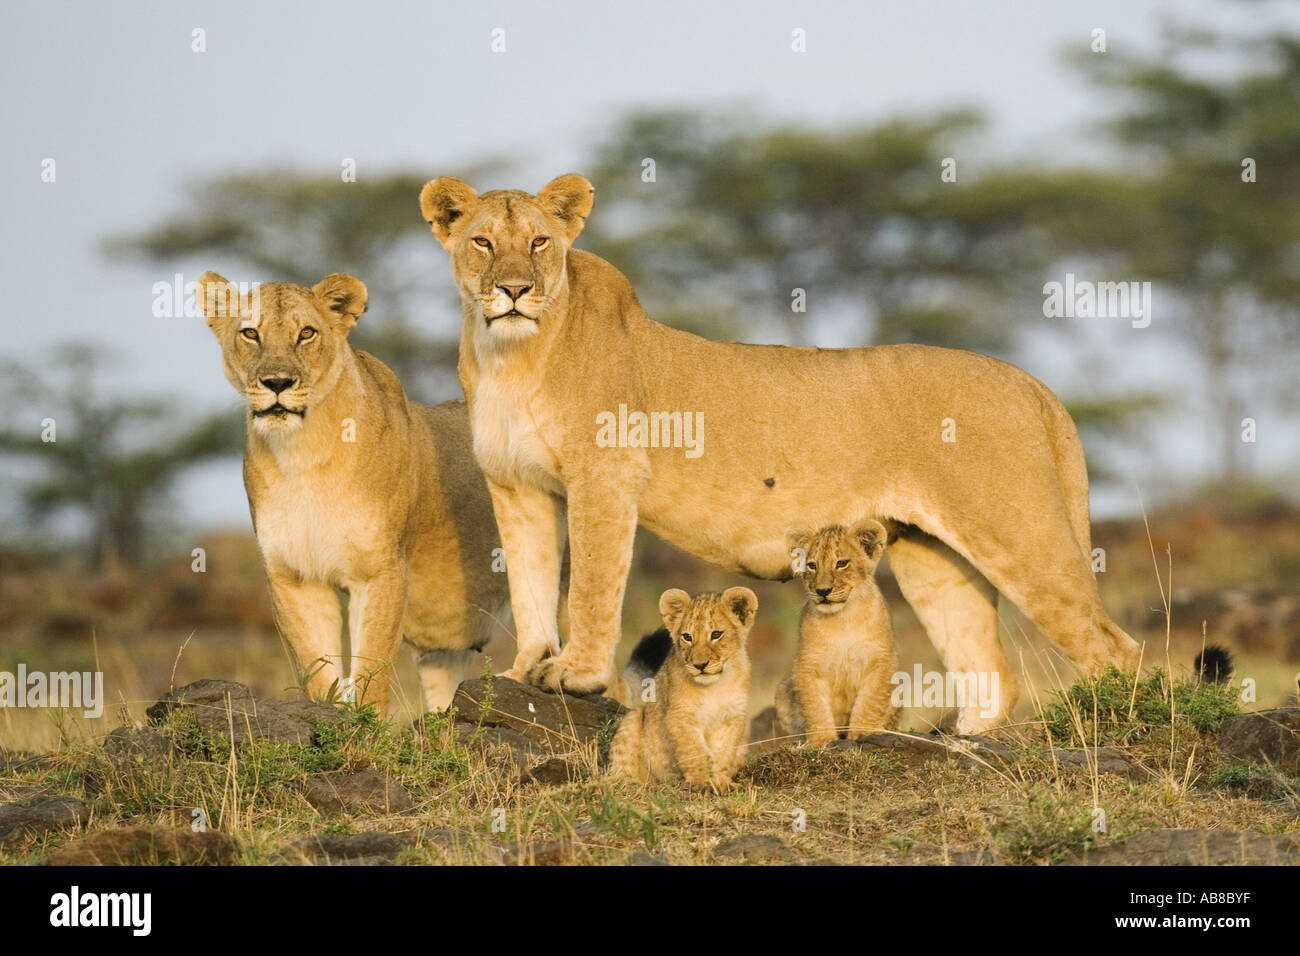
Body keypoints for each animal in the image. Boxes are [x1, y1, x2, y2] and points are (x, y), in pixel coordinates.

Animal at [196, 271, 515, 715]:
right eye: (250, 333)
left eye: (306, 333)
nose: (277, 383)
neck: (302, 454)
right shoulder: (294, 577)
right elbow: (317, 668)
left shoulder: (380, 571)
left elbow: (372, 669)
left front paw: (365, 726)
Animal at [607, 587, 755, 791]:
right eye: (687, 637)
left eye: (716, 634)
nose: (700, 665)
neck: (715, 686)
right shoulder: (681, 716)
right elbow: (695, 750)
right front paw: (704, 781)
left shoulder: (731, 716)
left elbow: (722, 752)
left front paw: (722, 781)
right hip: (633, 719)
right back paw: (632, 782)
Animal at [776, 519, 900, 746]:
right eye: (812, 565)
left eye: (842, 563)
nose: (822, 591)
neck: (843, 619)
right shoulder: (806, 665)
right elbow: (815, 705)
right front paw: (822, 739)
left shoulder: (882, 660)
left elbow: (870, 700)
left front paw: (863, 732)